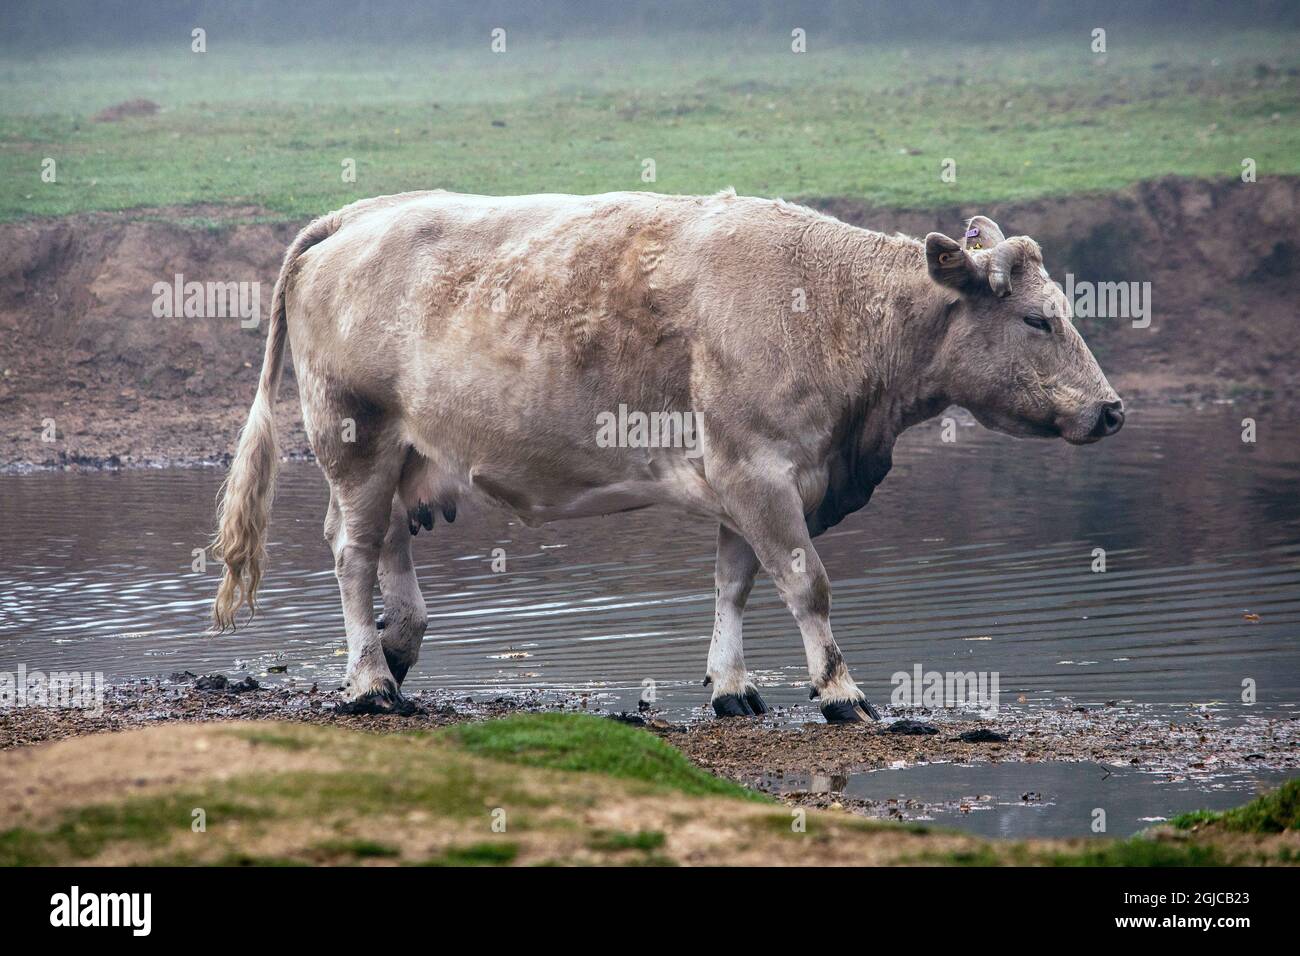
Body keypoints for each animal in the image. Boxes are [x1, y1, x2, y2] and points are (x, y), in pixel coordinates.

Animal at [212, 189, 1123, 721]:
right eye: (1038, 319)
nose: (1112, 409)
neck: (830, 307)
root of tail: (361, 212)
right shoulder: (759, 472)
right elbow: (806, 582)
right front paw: (839, 690)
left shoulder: (746, 477)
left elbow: (735, 584)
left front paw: (733, 686)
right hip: (353, 435)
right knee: (353, 550)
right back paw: (371, 681)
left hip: (401, 448)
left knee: (387, 542)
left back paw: (399, 648)